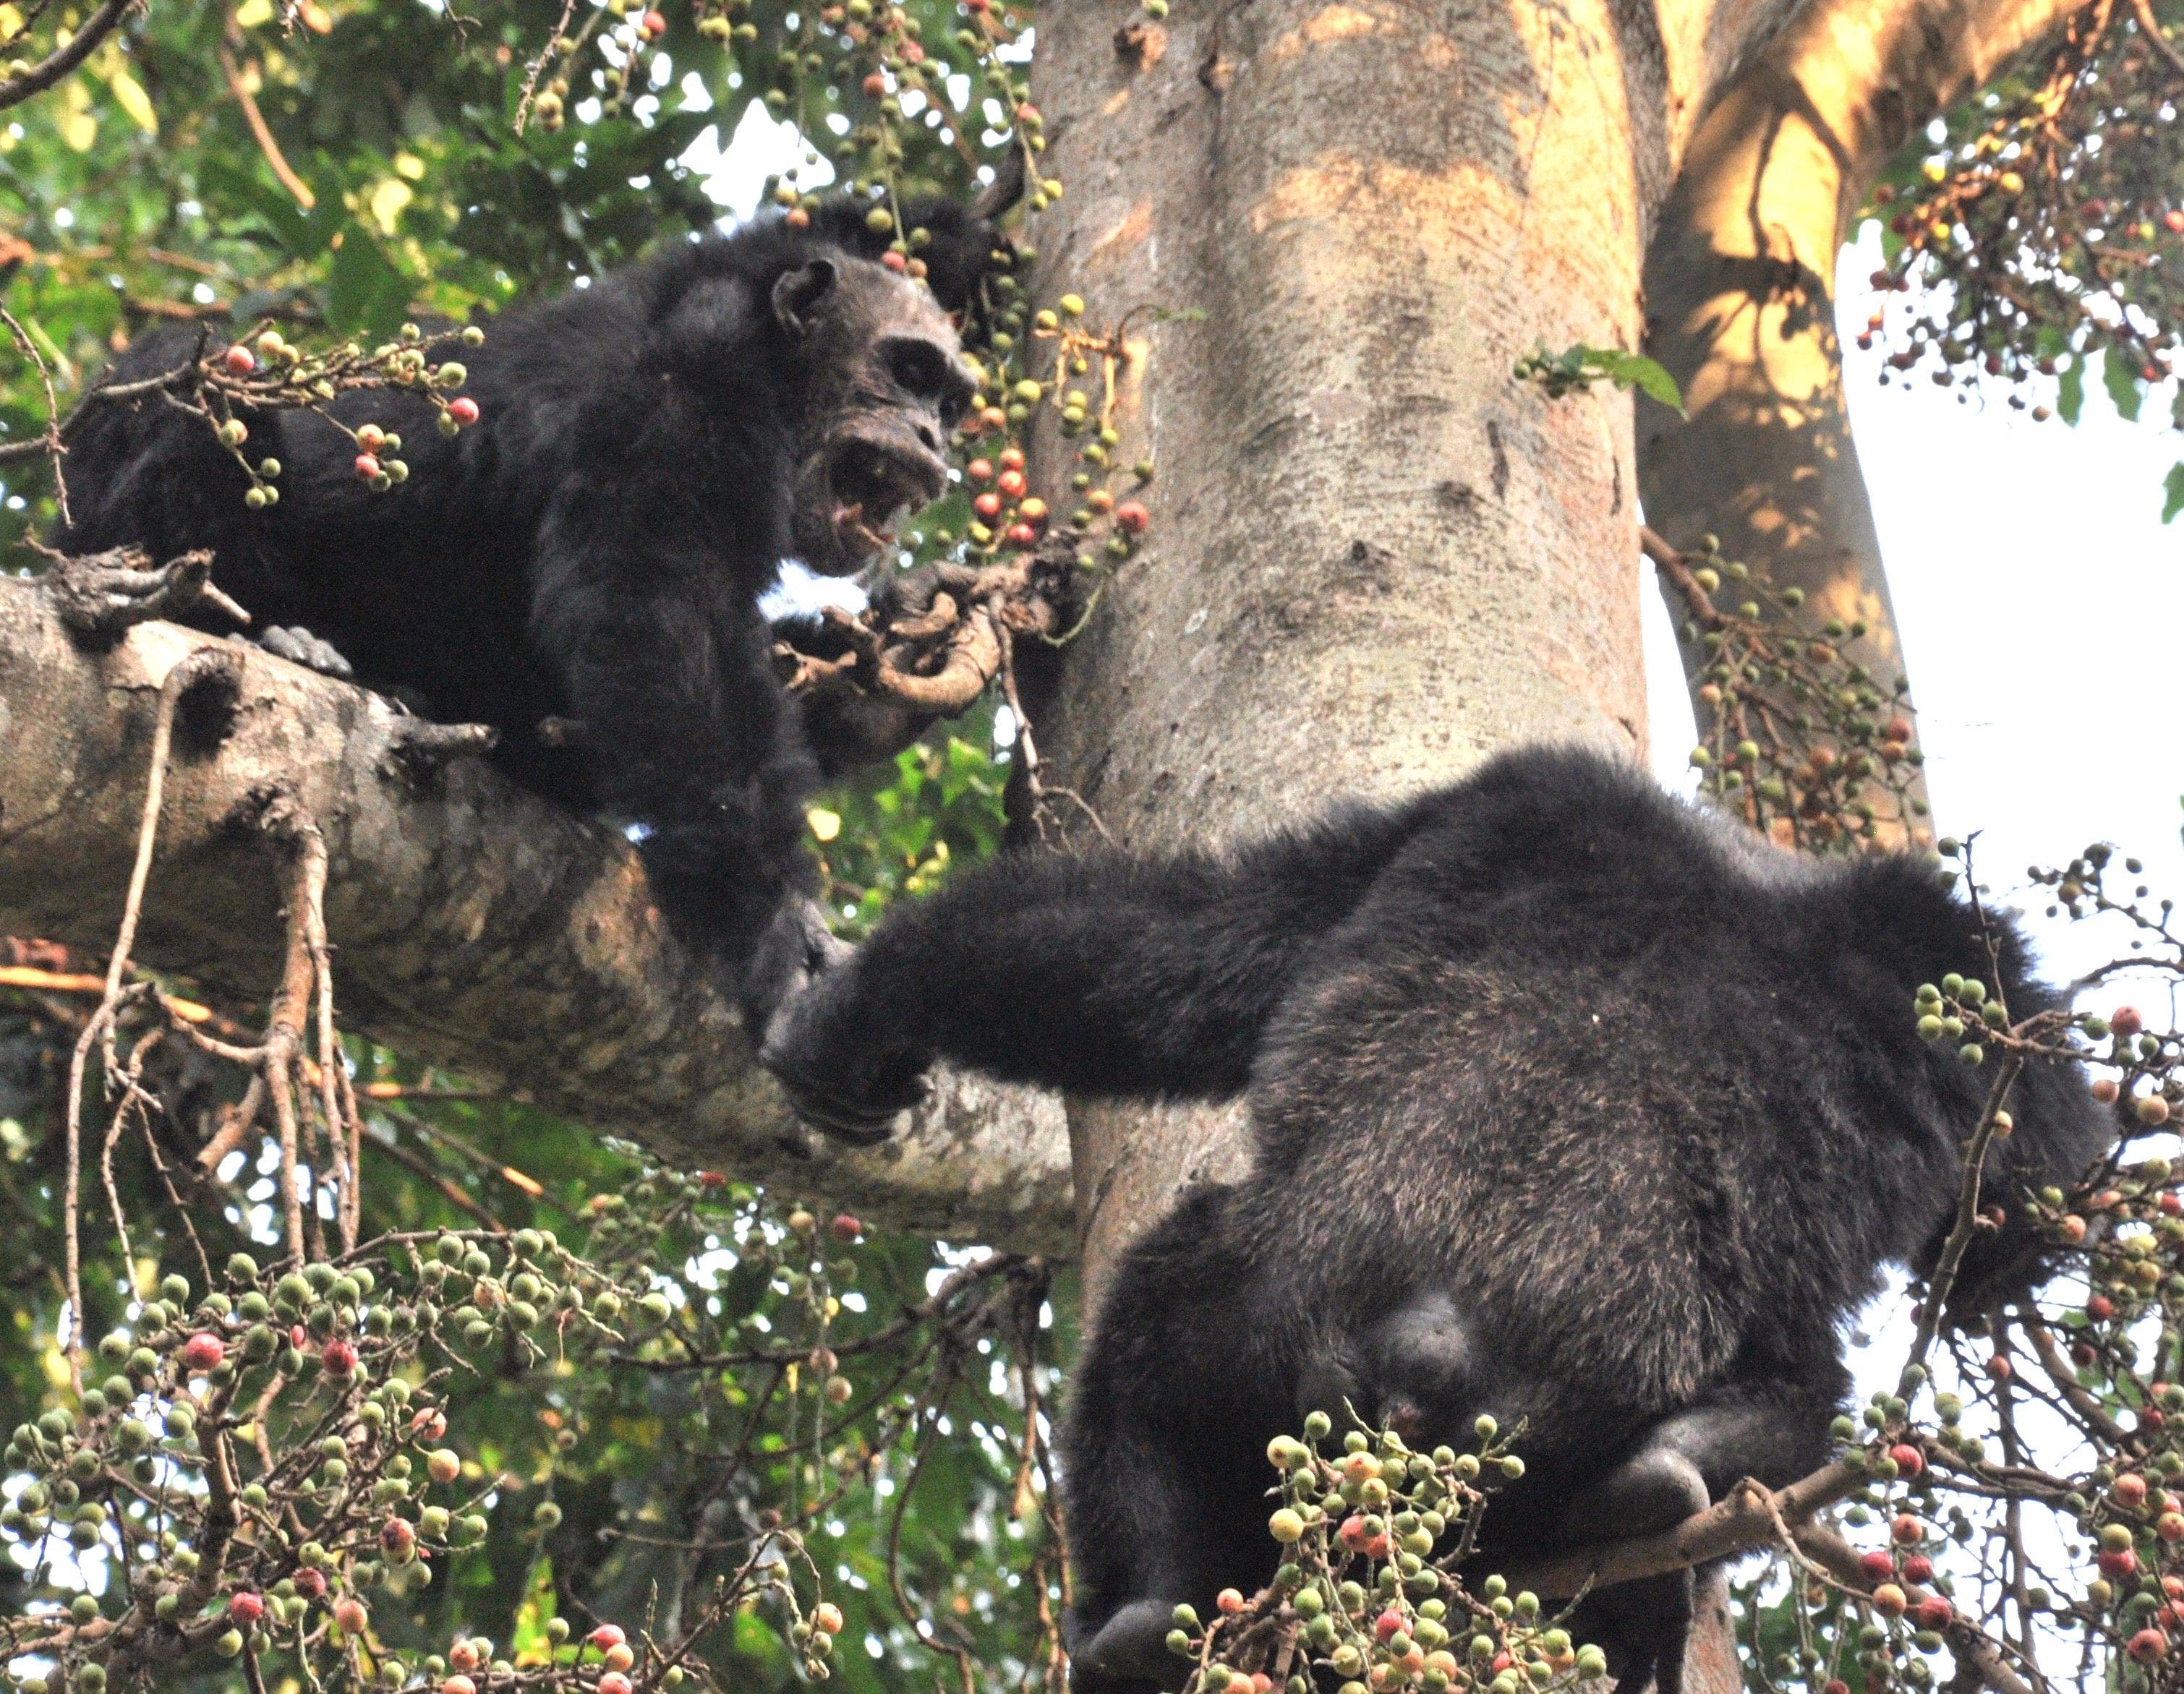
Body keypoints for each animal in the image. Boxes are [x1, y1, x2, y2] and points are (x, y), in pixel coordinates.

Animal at [51, 198, 994, 1027]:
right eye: (909, 371)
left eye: (948, 402)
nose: (933, 435)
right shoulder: (692, 379)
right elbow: (658, 606)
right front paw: (771, 925)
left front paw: (882, 674)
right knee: (193, 390)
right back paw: (279, 637)